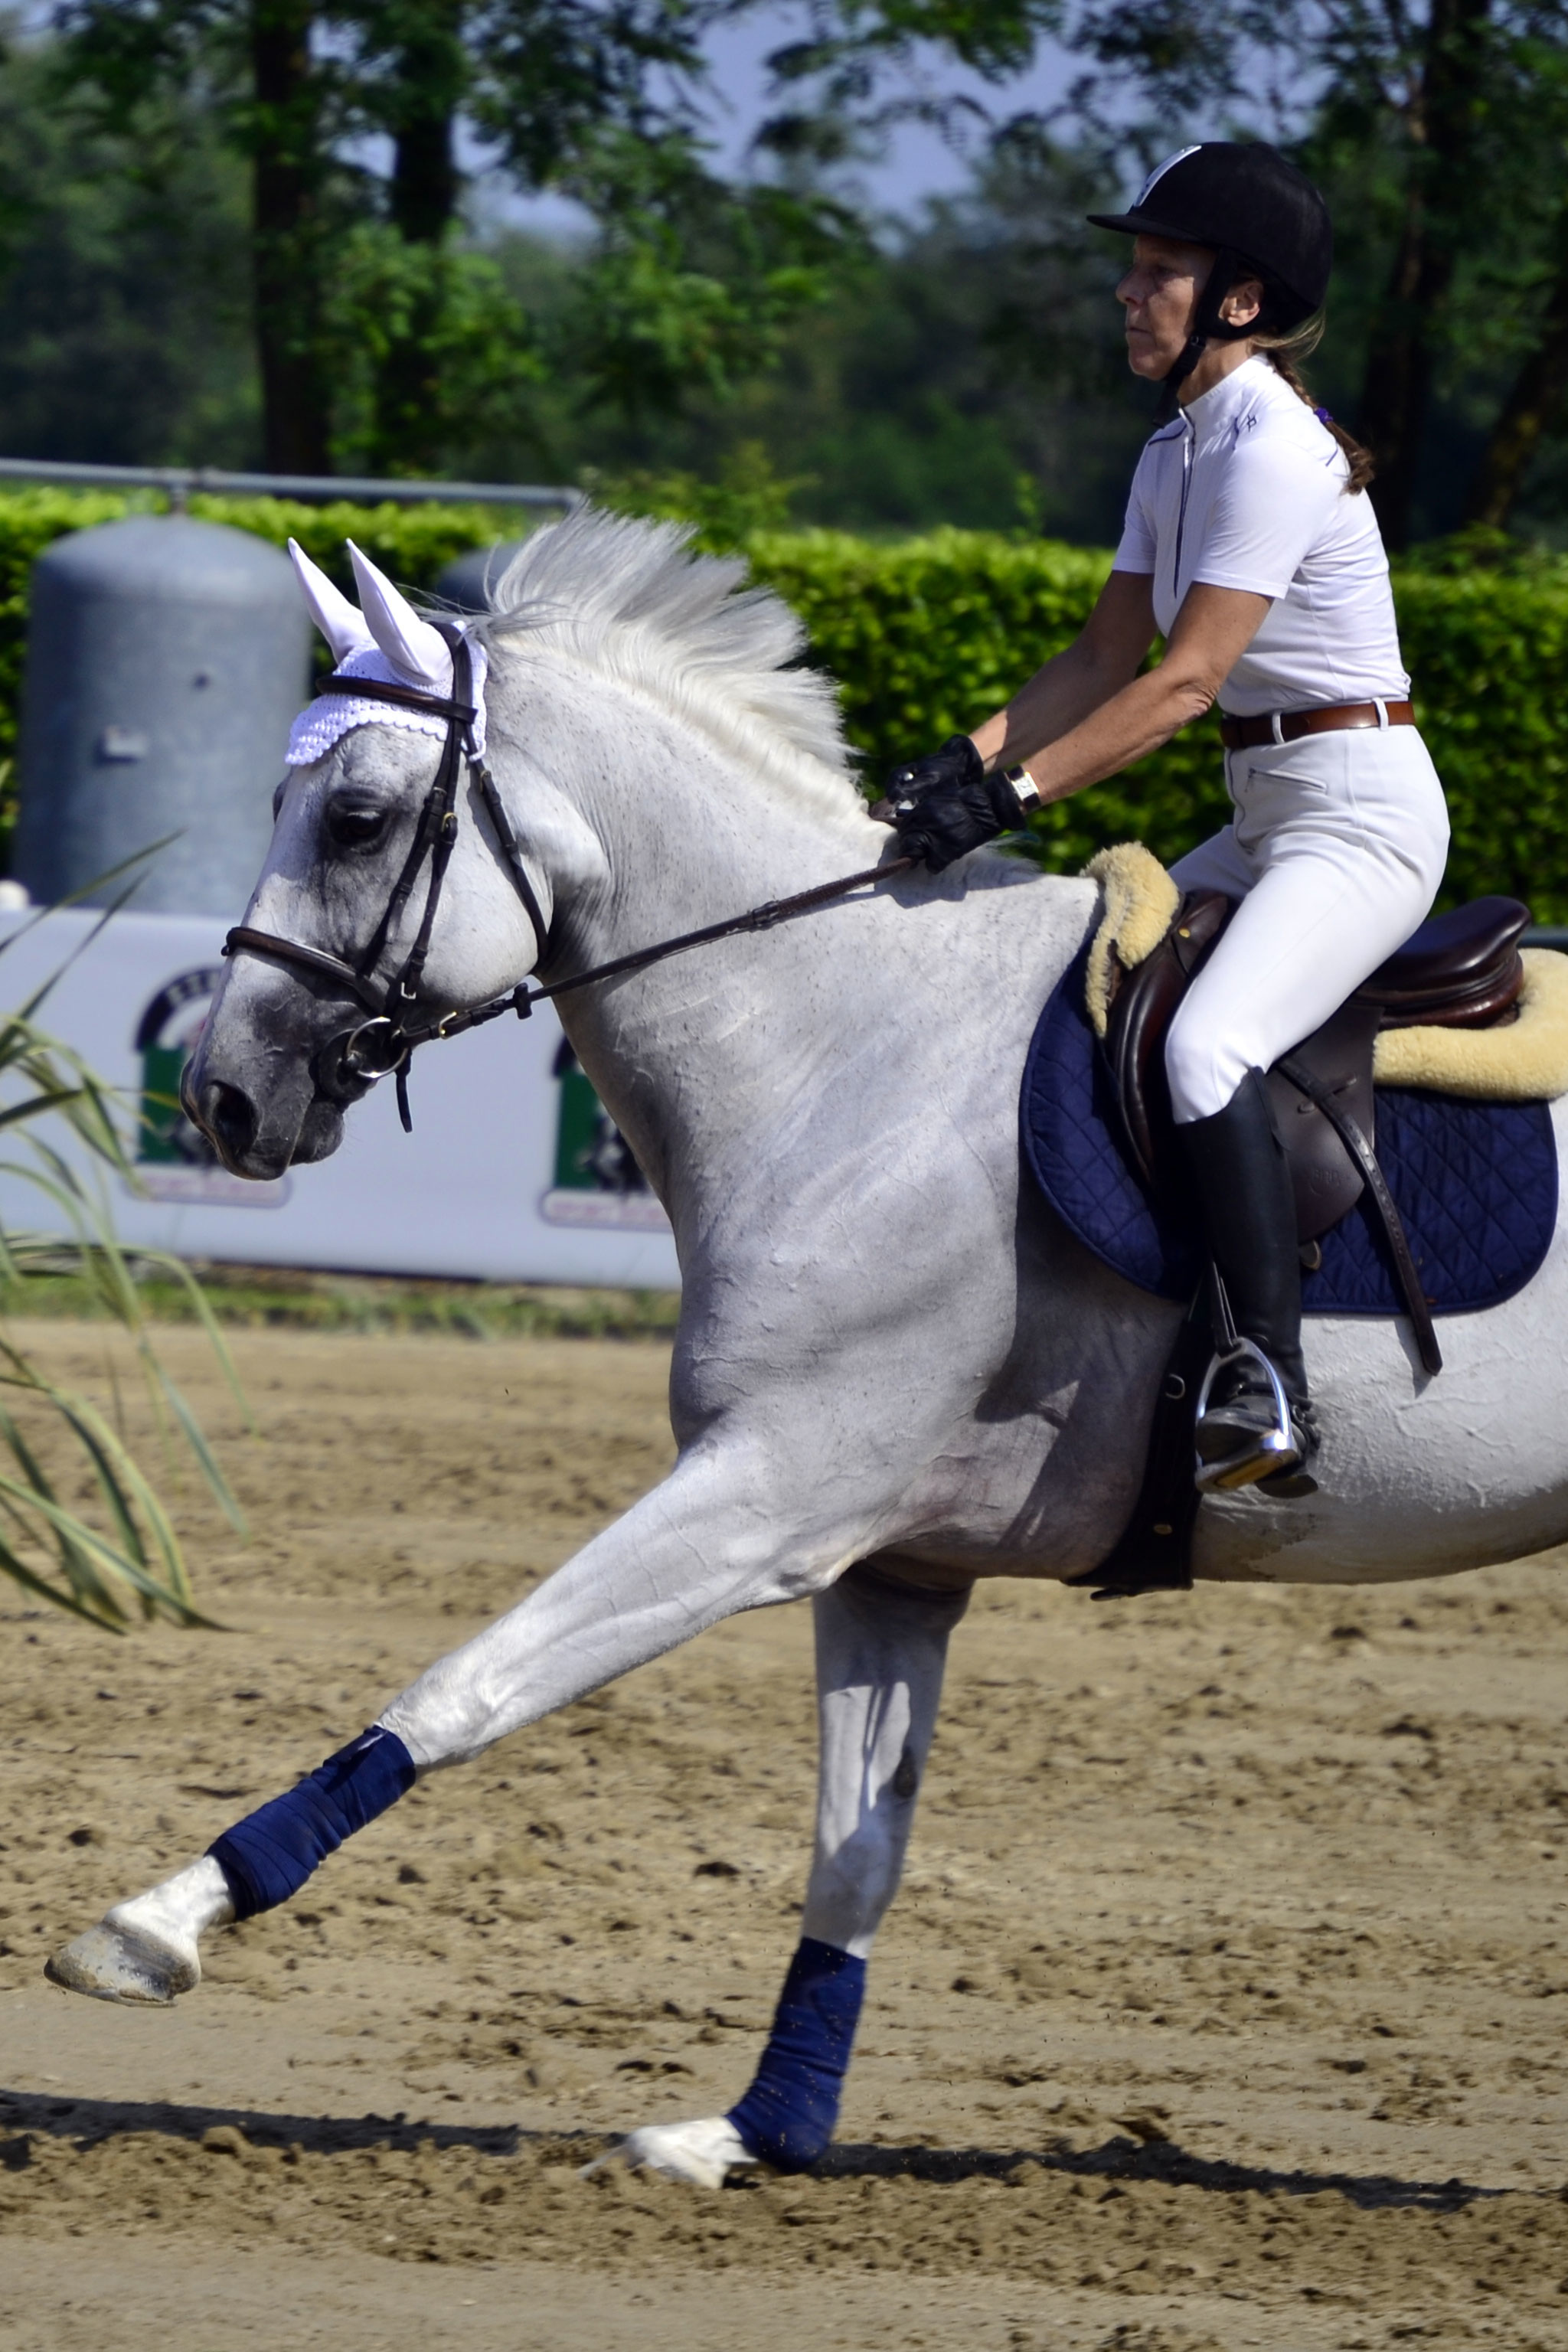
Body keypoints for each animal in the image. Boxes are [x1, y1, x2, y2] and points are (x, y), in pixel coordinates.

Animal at [46, 507, 1568, 2188]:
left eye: (361, 819)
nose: (224, 1099)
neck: (850, 1046)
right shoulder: (891, 1562)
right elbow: (855, 1852)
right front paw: (753, 2132)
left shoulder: (765, 1496)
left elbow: (464, 1685)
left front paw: (156, 1921)